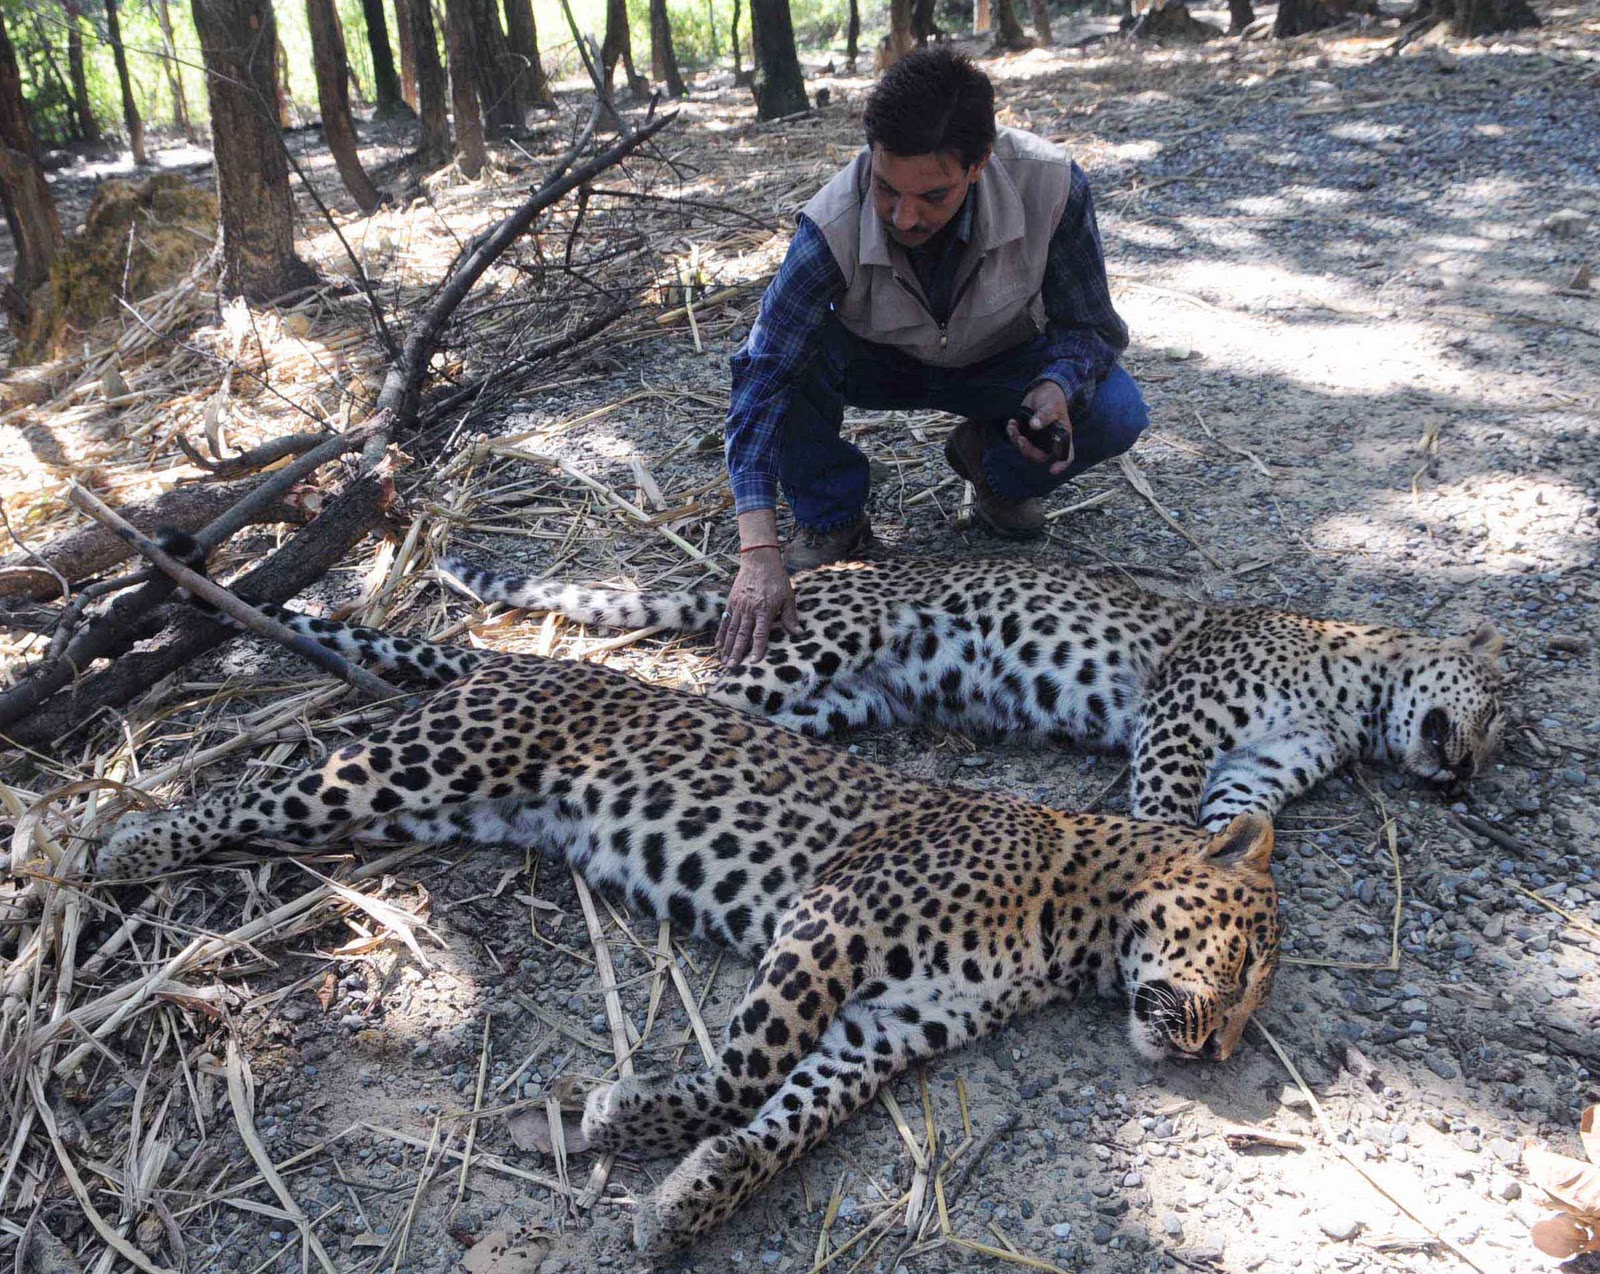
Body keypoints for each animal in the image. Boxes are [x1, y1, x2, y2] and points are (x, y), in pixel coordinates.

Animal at [96, 605, 1281, 1255]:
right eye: (1243, 963)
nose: (1215, 1051)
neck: (1073, 924)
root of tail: (519, 659)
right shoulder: (832, 917)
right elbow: (748, 1066)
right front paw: (632, 1119)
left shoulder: (893, 1024)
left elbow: (791, 1117)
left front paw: (689, 1199)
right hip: (421, 761)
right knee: (257, 792)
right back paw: (120, 843)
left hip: (433, 806)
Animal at [442, 555, 1506, 832]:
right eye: (1498, 717)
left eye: (1498, 746)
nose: (1465, 778)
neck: (1355, 700)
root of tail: (818, 572)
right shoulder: (1184, 710)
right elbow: (1165, 799)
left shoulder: (1263, 765)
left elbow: (1234, 815)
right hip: (828, 641)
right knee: (707, 686)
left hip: (848, 697)